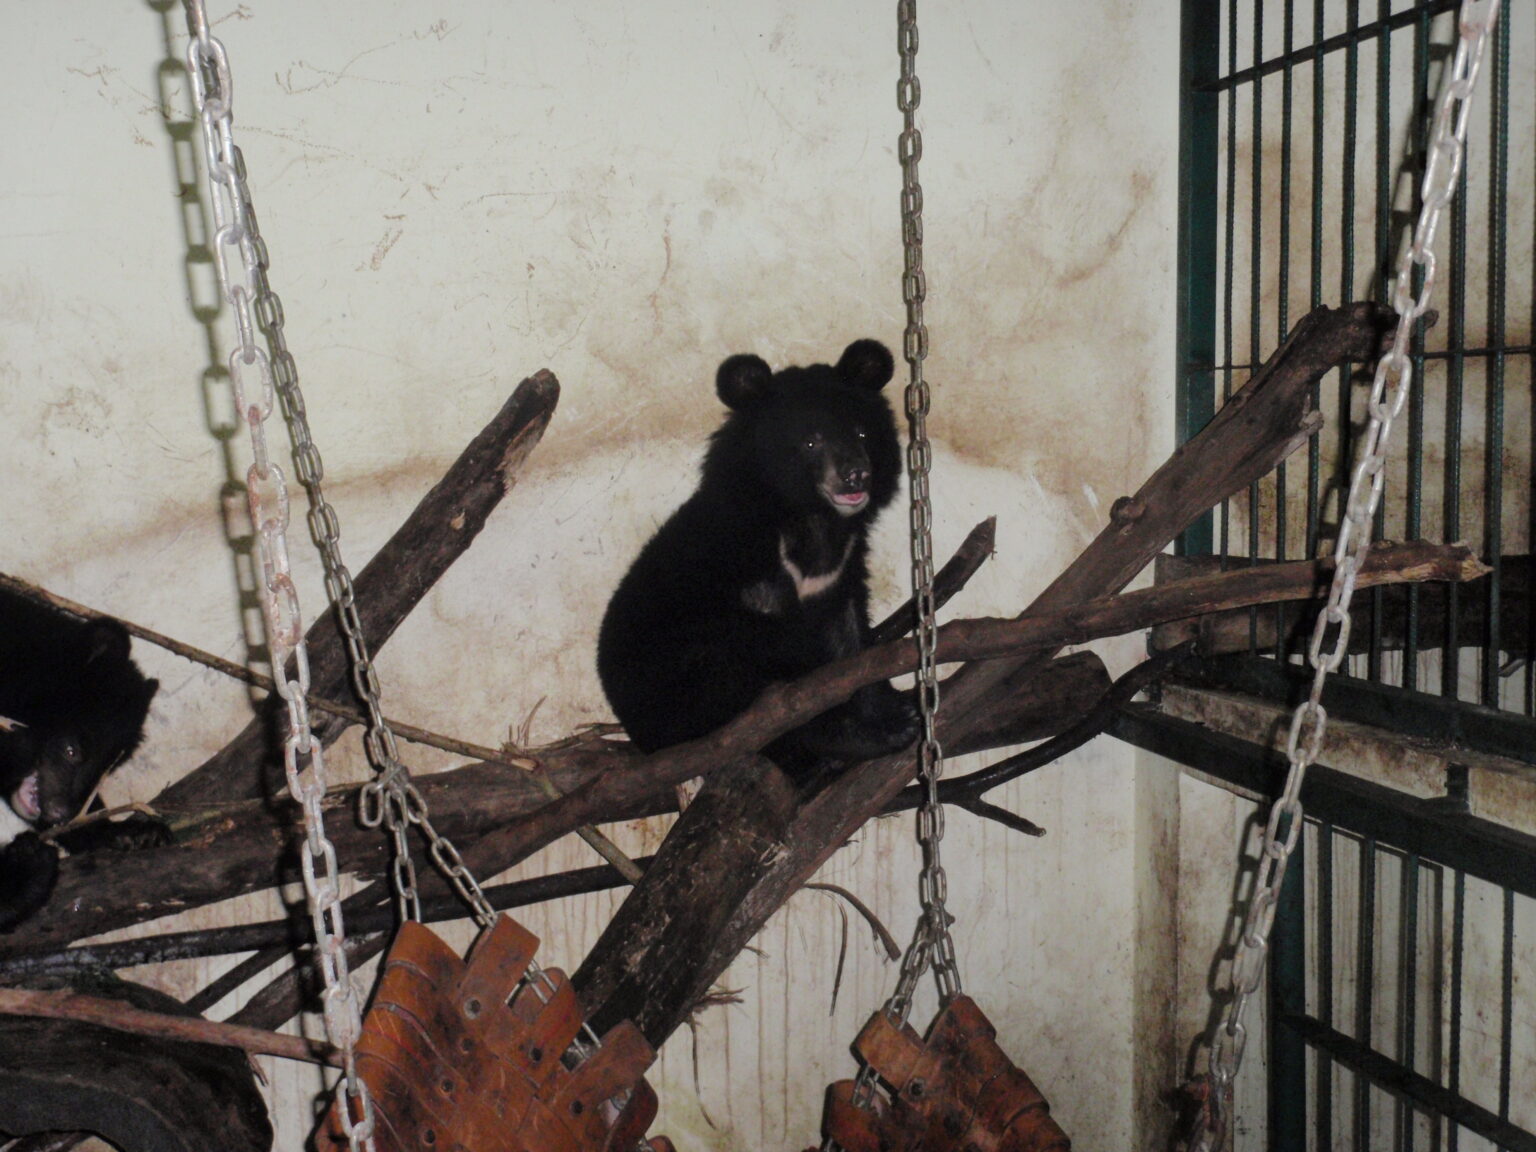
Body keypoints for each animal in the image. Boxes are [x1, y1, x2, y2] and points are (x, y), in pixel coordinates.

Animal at [597, 338, 919, 788]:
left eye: (862, 433)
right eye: (811, 442)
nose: (856, 475)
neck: (808, 517)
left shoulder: (841, 572)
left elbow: (851, 646)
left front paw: (893, 708)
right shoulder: (734, 575)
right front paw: (880, 729)